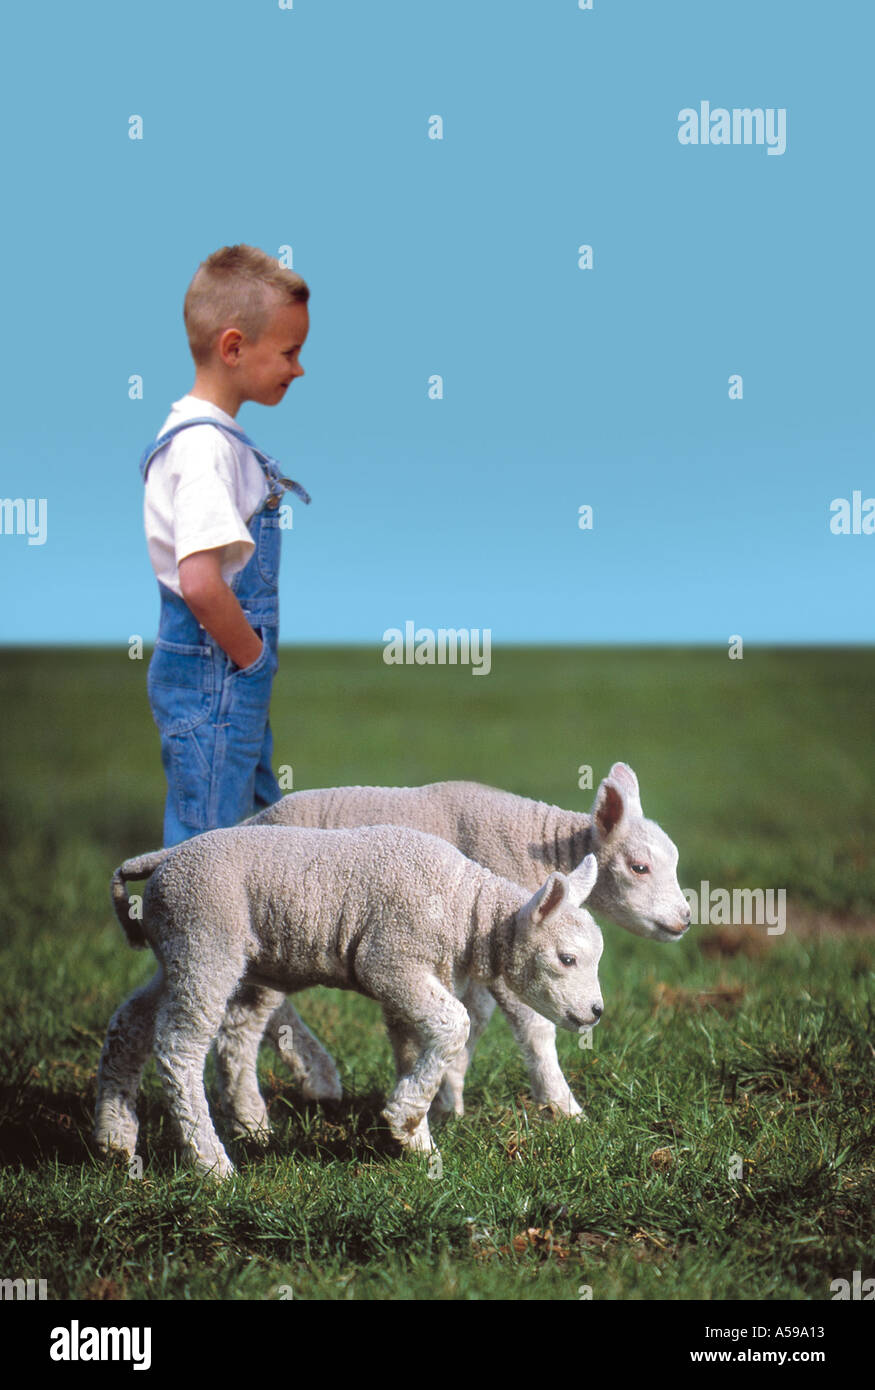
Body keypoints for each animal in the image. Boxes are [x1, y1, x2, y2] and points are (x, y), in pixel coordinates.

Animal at [94, 825, 603, 1178]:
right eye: (567, 958)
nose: (597, 1013)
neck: (466, 912)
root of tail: (164, 857)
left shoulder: (414, 975)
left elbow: (417, 1047)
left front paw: (414, 1138)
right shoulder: (391, 959)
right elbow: (455, 1024)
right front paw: (405, 1118)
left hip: (177, 949)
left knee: (130, 1025)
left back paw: (115, 1137)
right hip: (204, 938)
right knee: (179, 1046)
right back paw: (210, 1163)